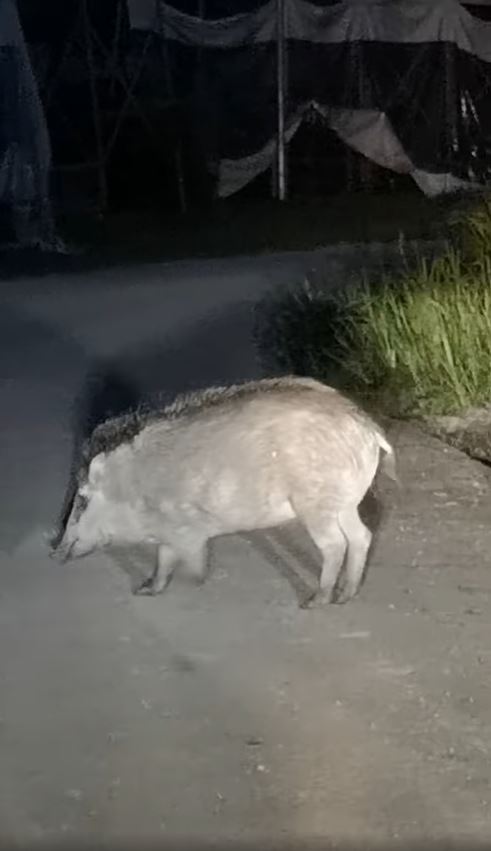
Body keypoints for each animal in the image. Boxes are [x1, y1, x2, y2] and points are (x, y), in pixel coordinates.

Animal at [54, 376, 396, 605]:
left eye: (82, 499)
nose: (54, 549)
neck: (133, 485)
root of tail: (370, 430)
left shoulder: (185, 527)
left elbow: (186, 559)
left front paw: (196, 582)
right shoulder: (170, 530)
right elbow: (163, 559)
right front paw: (145, 590)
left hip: (316, 503)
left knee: (335, 544)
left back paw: (316, 600)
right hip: (345, 502)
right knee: (362, 536)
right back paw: (345, 595)